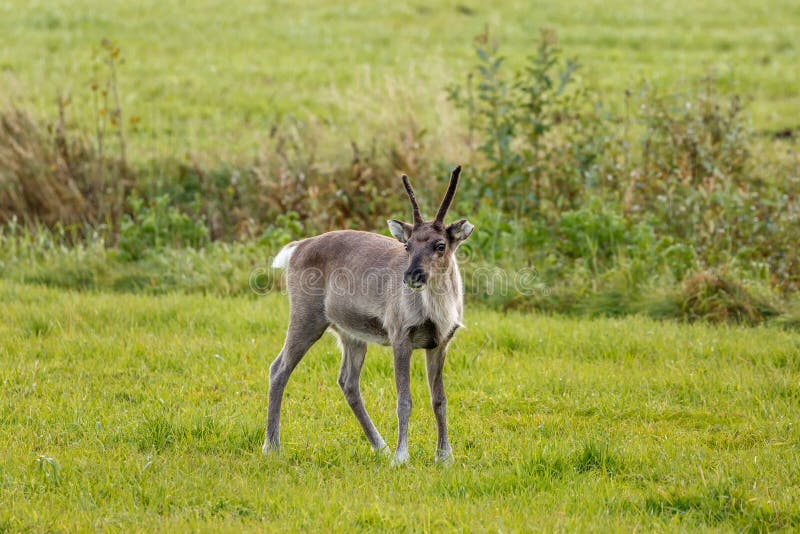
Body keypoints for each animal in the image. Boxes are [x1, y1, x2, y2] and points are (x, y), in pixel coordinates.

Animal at [262, 166, 474, 466]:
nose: (411, 275)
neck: (438, 310)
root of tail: (296, 248)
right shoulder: (400, 335)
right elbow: (404, 400)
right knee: (278, 368)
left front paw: (444, 456)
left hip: (351, 333)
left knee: (347, 382)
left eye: (440, 244)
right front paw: (401, 457)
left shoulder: (440, 342)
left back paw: (380, 446)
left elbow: (439, 400)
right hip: (307, 316)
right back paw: (272, 446)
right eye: (408, 246)